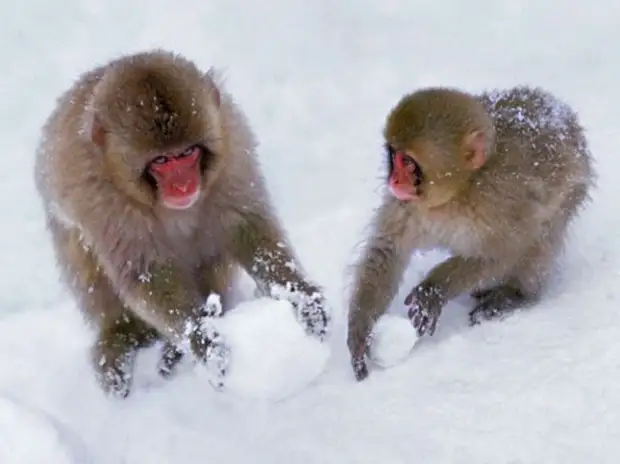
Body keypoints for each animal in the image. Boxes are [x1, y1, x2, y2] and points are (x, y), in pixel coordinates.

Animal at [35, 50, 330, 398]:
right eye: (162, 161)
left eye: (188, 153)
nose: (183, 185)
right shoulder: (101, 198)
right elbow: (146, 273)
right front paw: (202, 339)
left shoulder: (232, 153)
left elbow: (246, 227)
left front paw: (300, 296)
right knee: (84, 262)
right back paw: (120, 336)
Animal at [348, 86, 596, 380]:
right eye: (393, 156)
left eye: (408, 162)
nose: (393, 180)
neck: (457, 192)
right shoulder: (407, 205)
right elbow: (388, 249)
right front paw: (360, 329)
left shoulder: (501, 201)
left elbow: (504, 252)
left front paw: (433, 289)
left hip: (573, 189)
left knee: (542, 239)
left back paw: (517, 294)